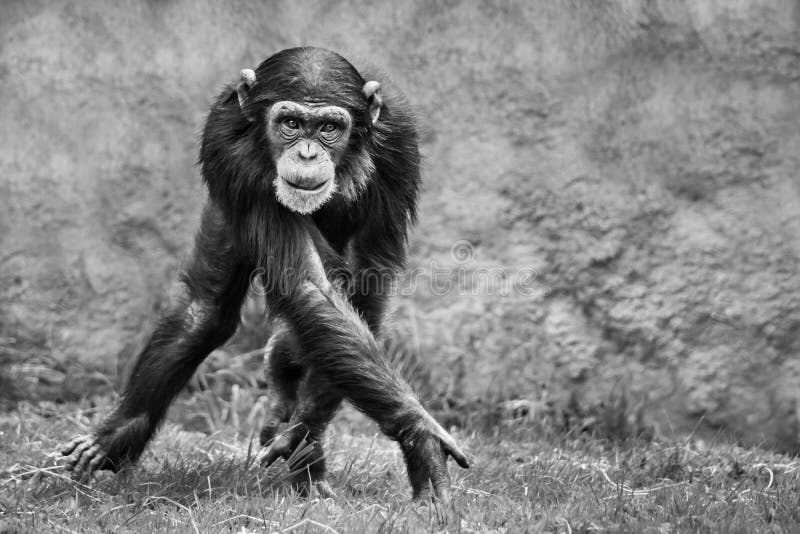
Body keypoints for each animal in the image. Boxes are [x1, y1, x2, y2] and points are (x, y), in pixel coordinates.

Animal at [61, 47, 468, 502]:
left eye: (329, 127)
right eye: (290, 124)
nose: (307, 153)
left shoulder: (399, 145)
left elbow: (367, 277)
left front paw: (319, 432)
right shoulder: (228, 151)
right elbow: (308, 286)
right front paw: (419, 432)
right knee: (206, 309)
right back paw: (118, 434)